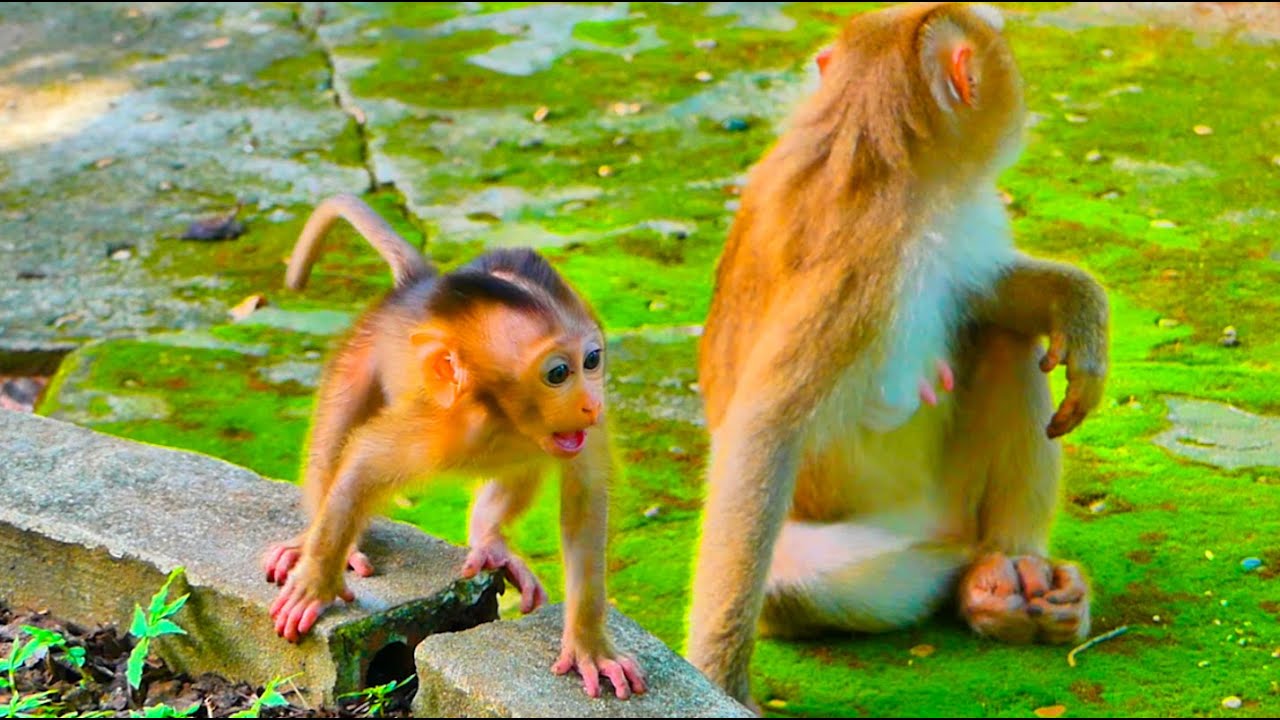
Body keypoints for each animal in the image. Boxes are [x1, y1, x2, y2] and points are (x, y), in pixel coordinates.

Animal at [261, 194, 646, 699]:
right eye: (559, 373)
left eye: (593, 360)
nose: (592, 403)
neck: (503, 418)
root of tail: (416, 283)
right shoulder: (436, 431)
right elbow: (363, 462)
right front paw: (316, 578)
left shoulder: (583, 436)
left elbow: (585, 506)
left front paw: (589, 645)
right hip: (363, 346)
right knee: (337, 431)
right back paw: (311, 539)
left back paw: (488, 538)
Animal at [685, 3, 1110, 708]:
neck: (867, 146)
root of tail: (944, 533)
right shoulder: (863, 265)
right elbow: (765, 429)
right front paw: (719, 679)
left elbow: (983, 293)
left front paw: (1075, 302)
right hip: (883, 553)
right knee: (792, 582)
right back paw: (982, 586)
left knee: (1003, 336)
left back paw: (1010, 573)